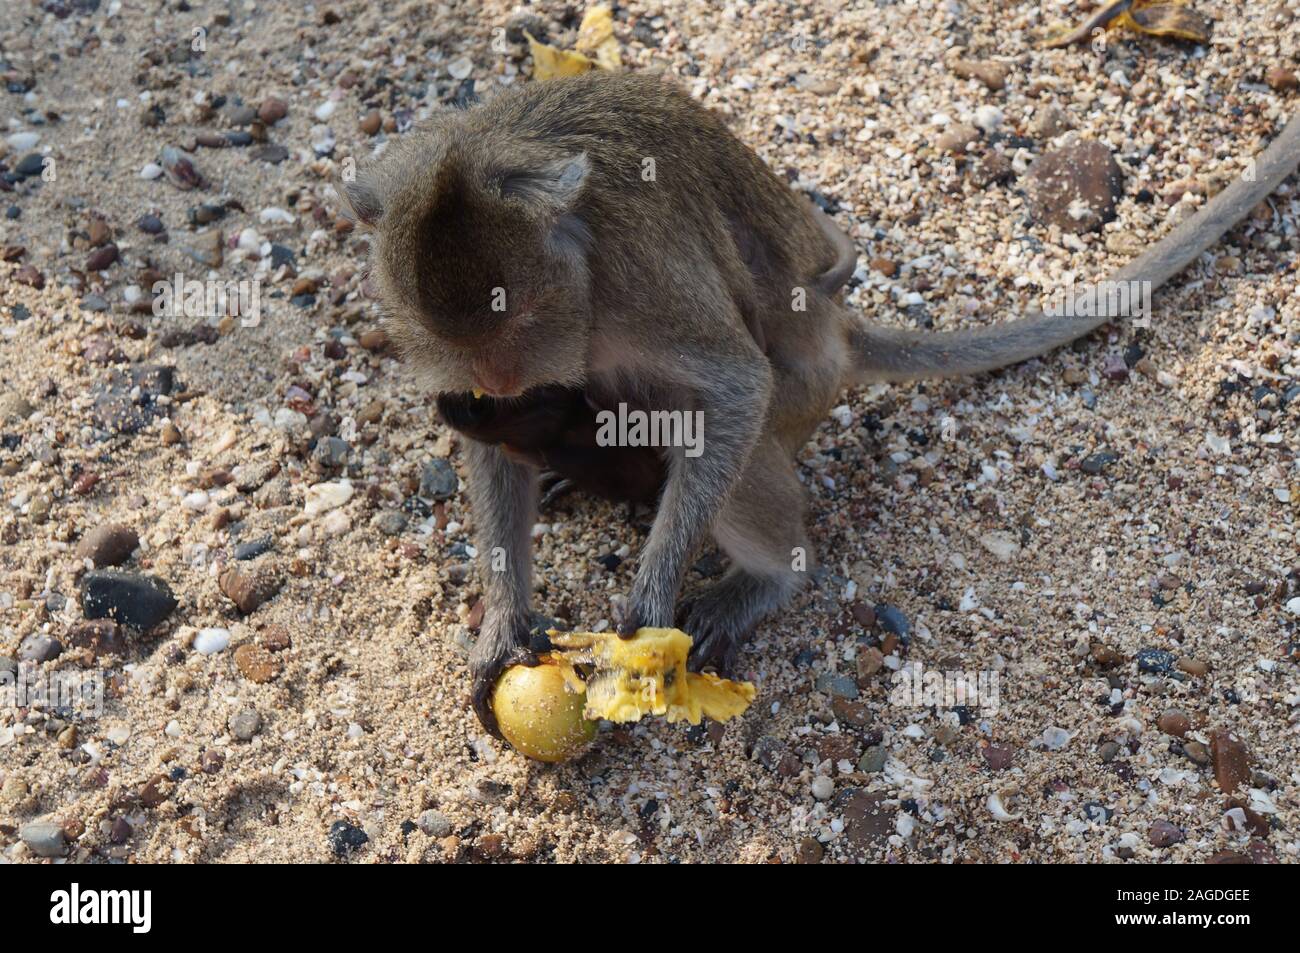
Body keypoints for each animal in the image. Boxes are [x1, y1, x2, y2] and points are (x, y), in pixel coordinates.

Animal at [340, 70, 1300, 737]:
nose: (504, 385)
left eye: (523, 314)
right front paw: (504, 623)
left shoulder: (638, 286)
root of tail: (841, 334)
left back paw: (768, 571)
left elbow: (732, 390)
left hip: (801, 397)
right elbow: (486, 444)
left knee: (734, 430)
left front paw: (646, 610)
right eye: (462, 339)